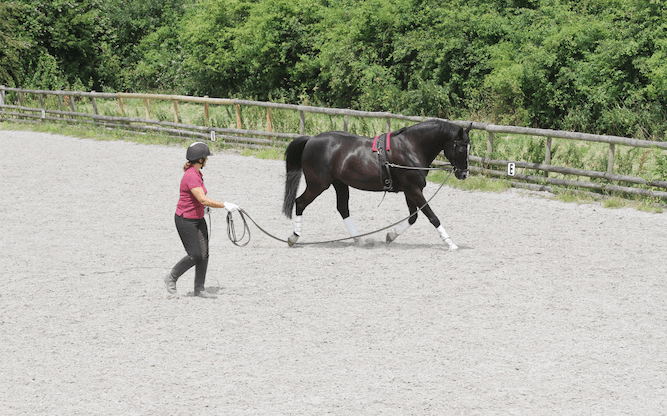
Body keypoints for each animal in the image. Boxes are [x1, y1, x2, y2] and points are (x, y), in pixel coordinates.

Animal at [282, 119, 471, 250]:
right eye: (462, 148)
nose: (464, 174)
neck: (410, 147)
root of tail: (311, 140)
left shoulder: (410, 190)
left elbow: (413, 217)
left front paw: (390, 235)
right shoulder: (413, 189)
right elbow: (432, 216)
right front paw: (450, 243)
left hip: (340, 184)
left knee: (343, 209)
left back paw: (360, 240)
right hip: (318, 184)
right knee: (300, 202)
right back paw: (294, 237)